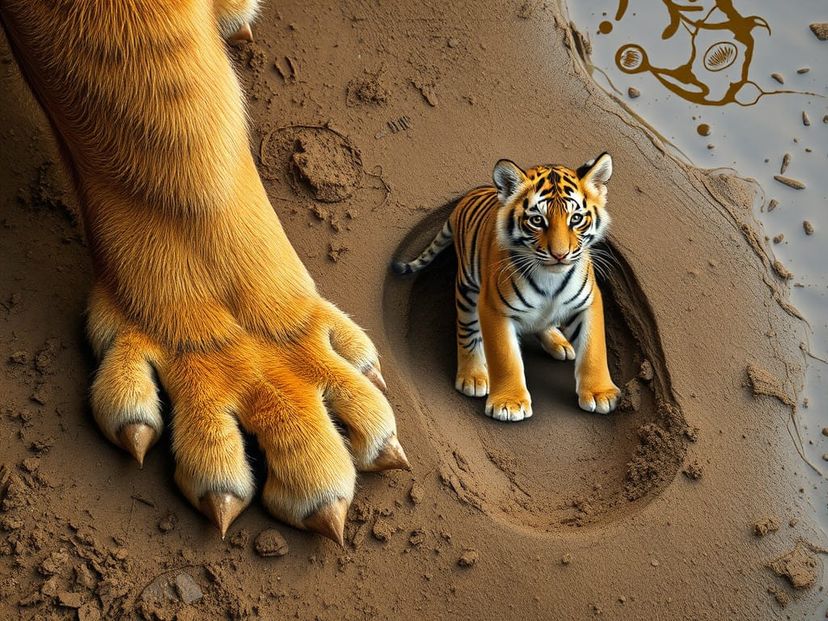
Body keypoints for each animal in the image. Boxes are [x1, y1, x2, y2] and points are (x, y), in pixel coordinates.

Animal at [393, 155, 621, 421]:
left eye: (575, 219)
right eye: (537, 220)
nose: (560, 254)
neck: (550, 279)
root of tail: (469, 196)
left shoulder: (588, 302)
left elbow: (594, 349)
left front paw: (600, 394)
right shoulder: (494, 308)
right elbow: (506, 358)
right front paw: (508, 403)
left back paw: (558, 342)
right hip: (467, 288)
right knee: (467, 331)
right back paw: (472, 376)